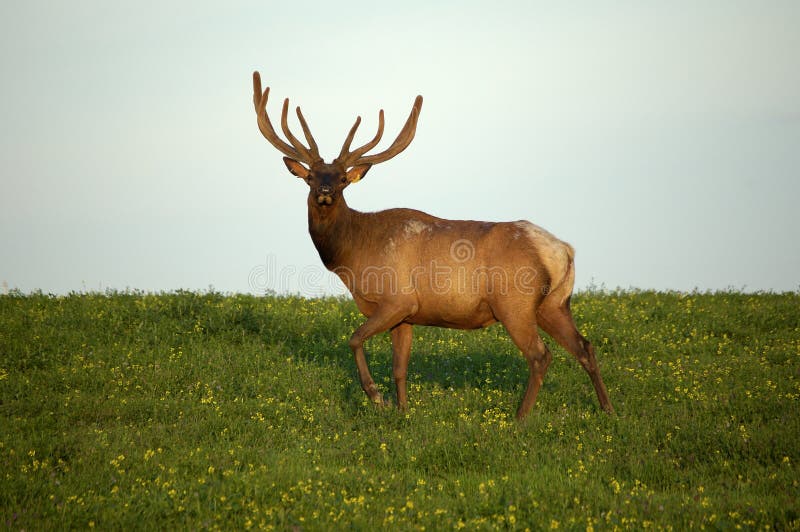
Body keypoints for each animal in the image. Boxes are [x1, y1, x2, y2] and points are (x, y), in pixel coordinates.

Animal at [251, 71, 613, 419]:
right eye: (311, 177)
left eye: (342, 179)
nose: (324, 192)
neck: (353, 256)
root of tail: (562, 251)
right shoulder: (408, 314)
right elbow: (399, 368)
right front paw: (402, 412)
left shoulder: (397, 298)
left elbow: (354, 339)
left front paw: (377, 398)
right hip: (555, 303)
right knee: (585, 347)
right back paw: (608, 410)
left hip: (515, 303)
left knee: (540, 355)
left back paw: (520, 419)